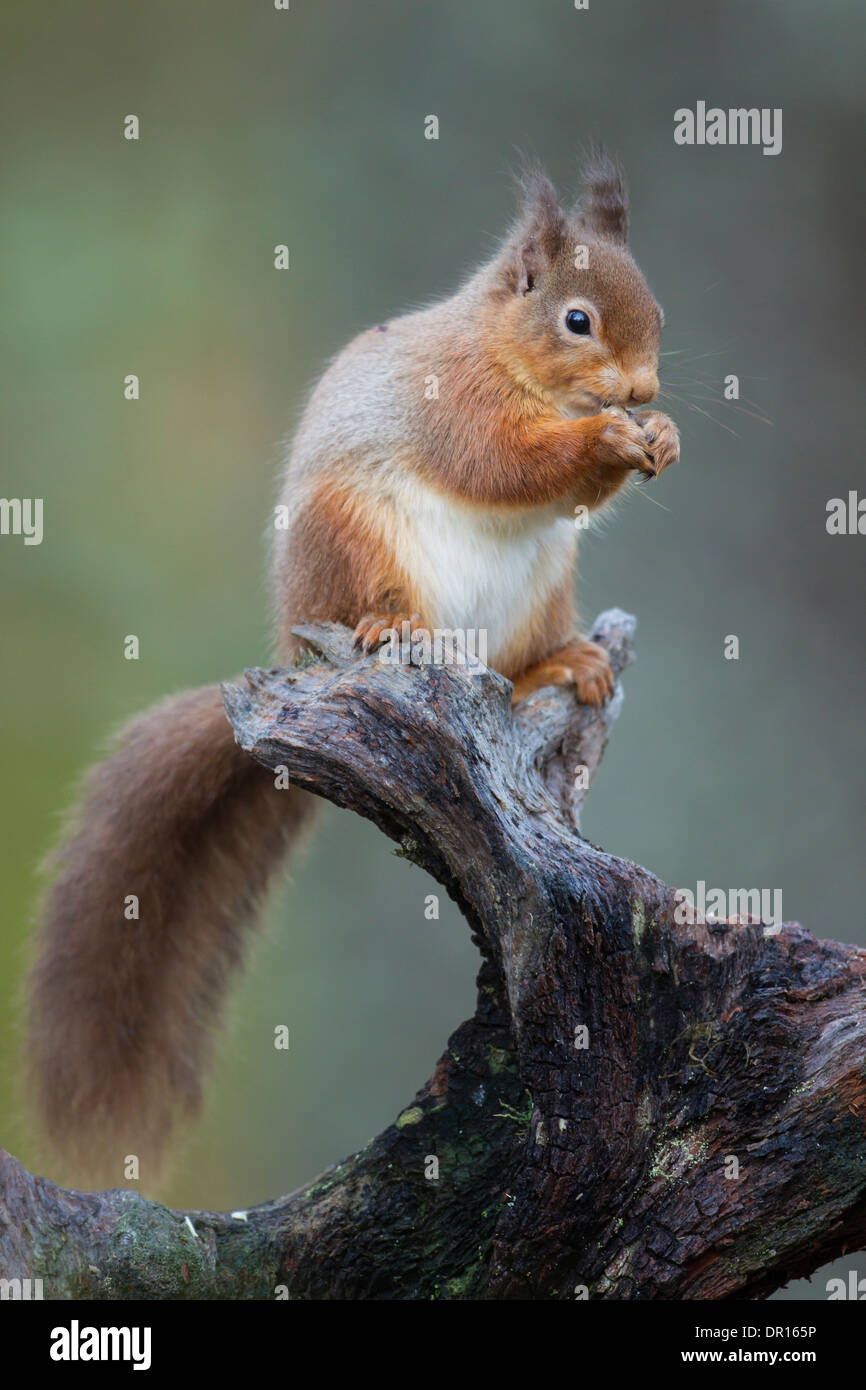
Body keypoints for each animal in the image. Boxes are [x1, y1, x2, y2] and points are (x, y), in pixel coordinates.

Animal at [25, 156, 679, 1186]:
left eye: (657, 308)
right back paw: (389, 628)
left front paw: (663, 436)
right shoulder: (452, 402)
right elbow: (502, 463)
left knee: (518, 660)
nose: (645, 387)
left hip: (545, 584)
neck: (503, 351)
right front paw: (611, 439)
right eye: (578, 319)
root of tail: (296, 657)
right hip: (352, 536)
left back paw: (564, 663)